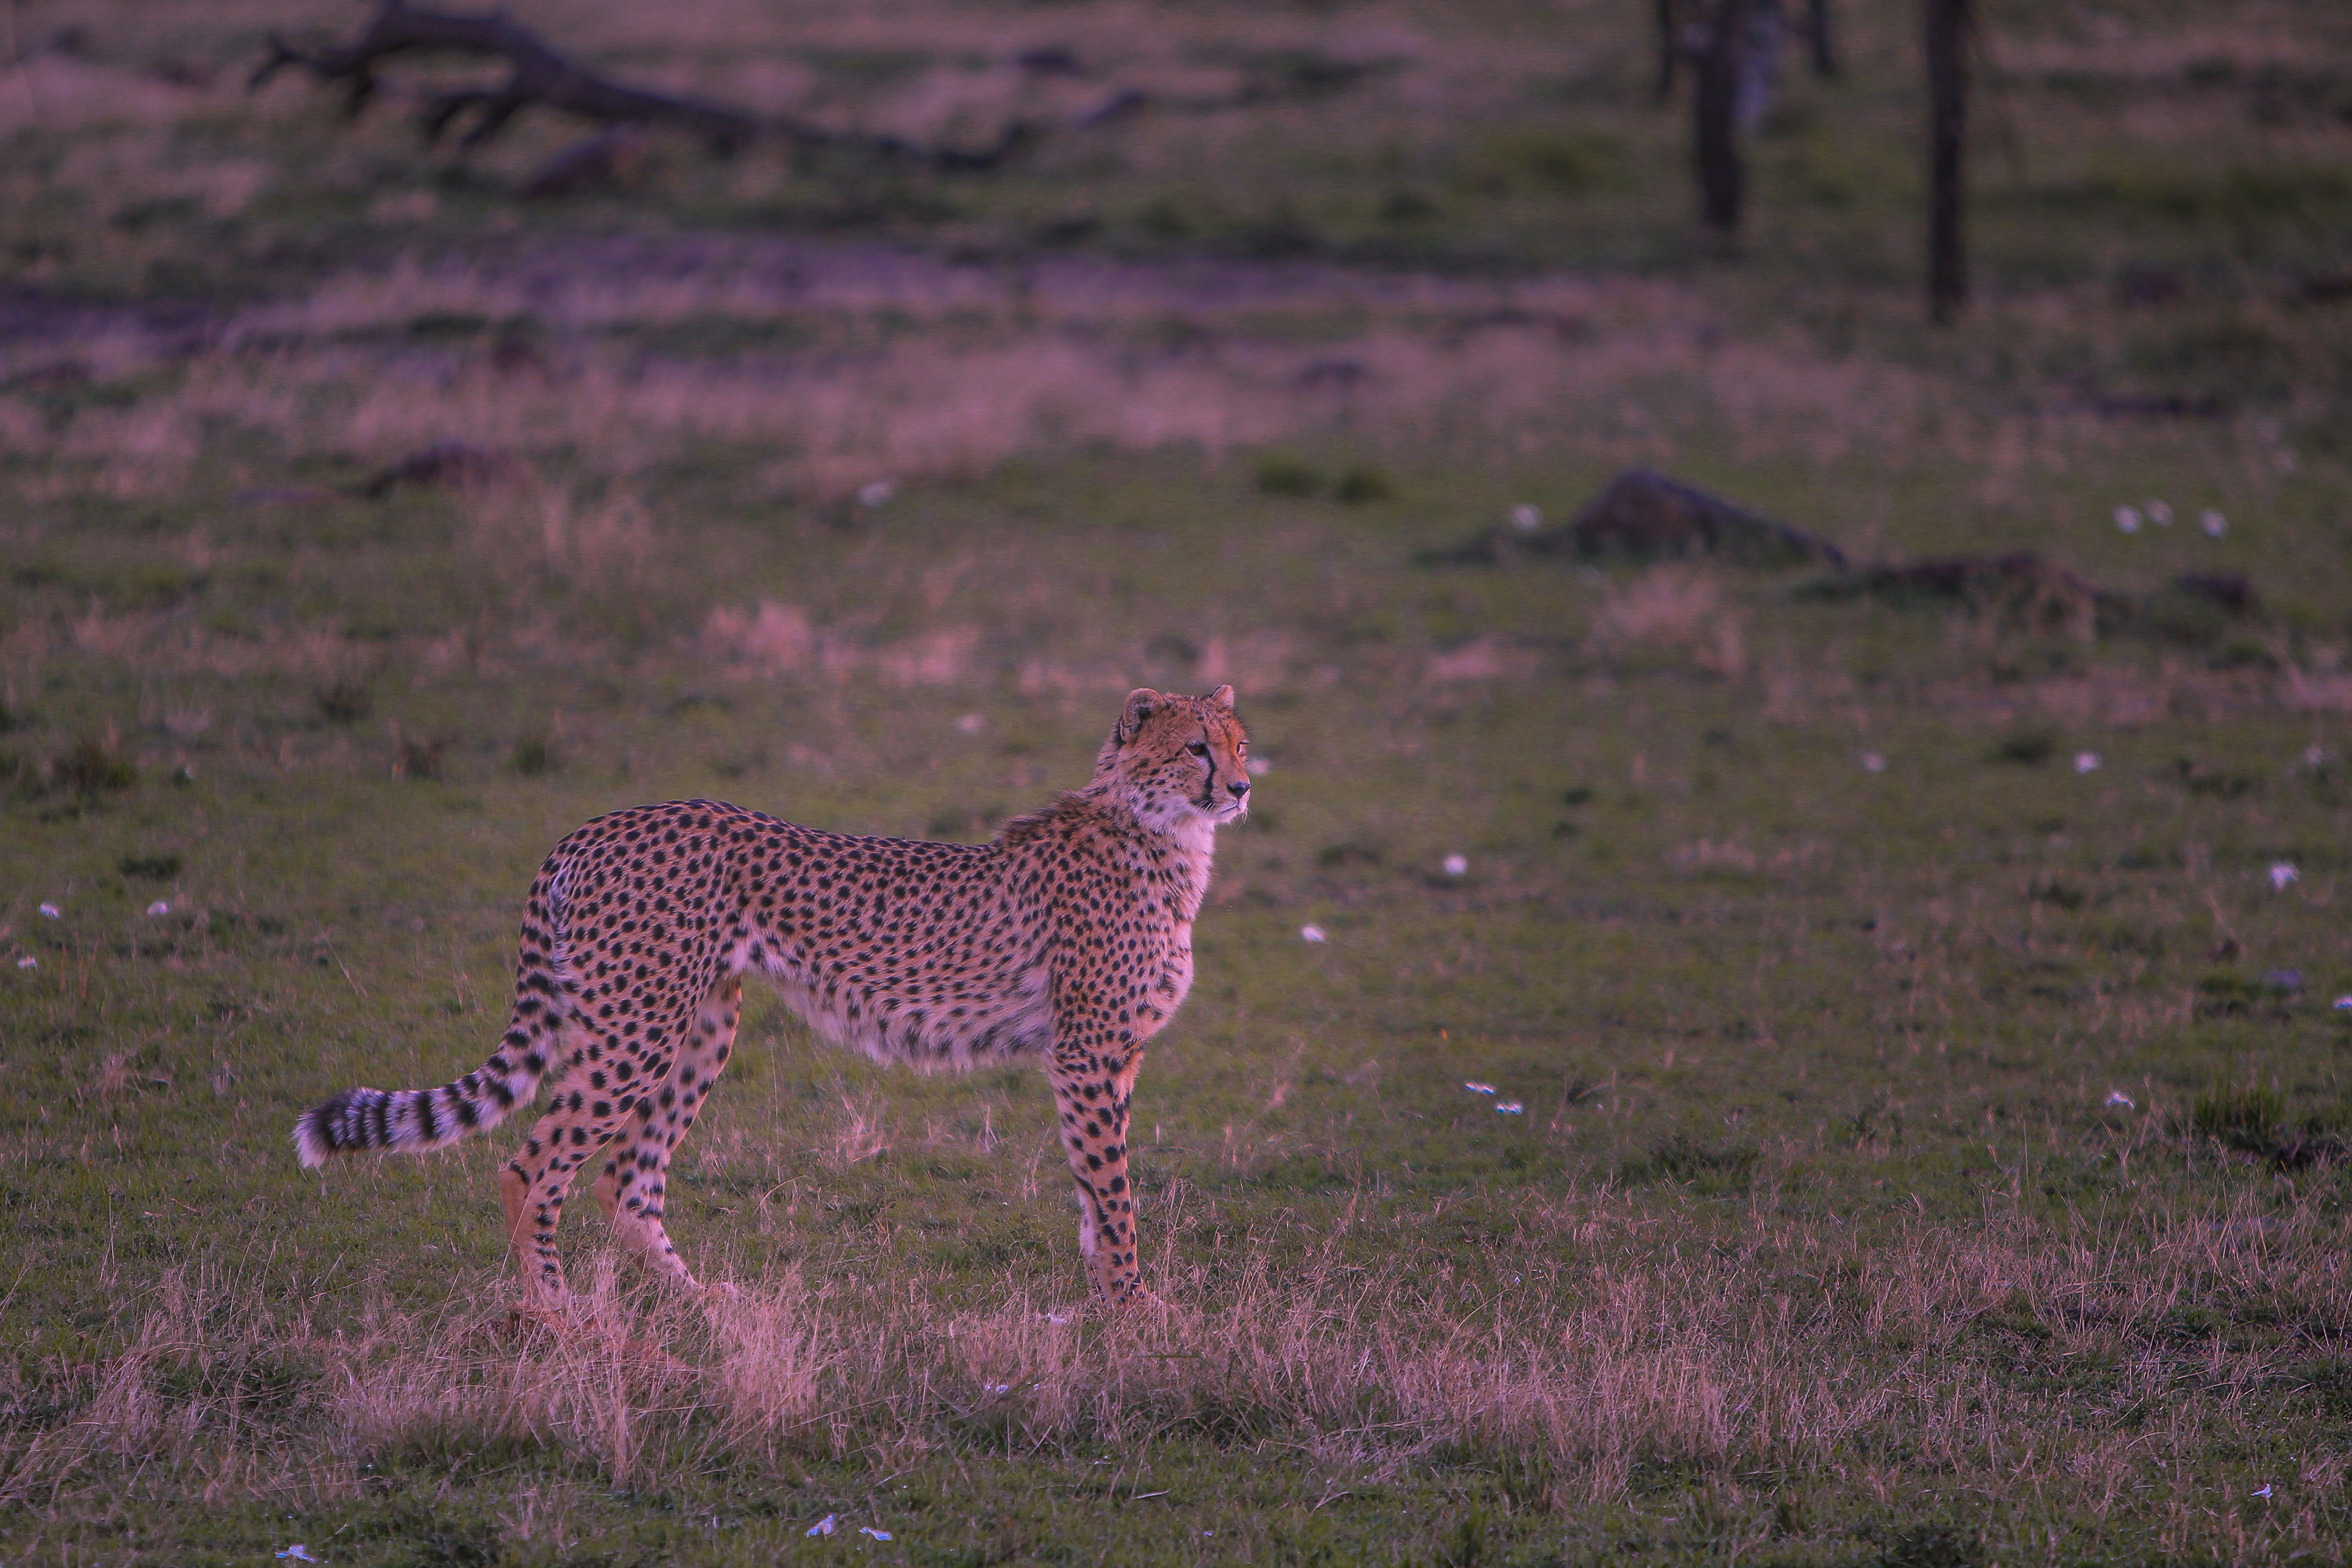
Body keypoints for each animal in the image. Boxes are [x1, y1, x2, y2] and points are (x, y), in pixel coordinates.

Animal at [293, 684, 1250, 1307]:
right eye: (1195, 748)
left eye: (1240, 741)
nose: (1241, 787)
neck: (1160, 829)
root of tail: (595, 824)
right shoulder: (1086, 1051)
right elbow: (1113, 1189)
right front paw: (1134, 1308)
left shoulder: (1109, 1057)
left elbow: (1094, 1188)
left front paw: (1108, 1296)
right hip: (636, 1025)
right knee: (532, 1165)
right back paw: (558, 1317)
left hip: (698, 1023)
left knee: (625, 1177)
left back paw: (703, 1304)